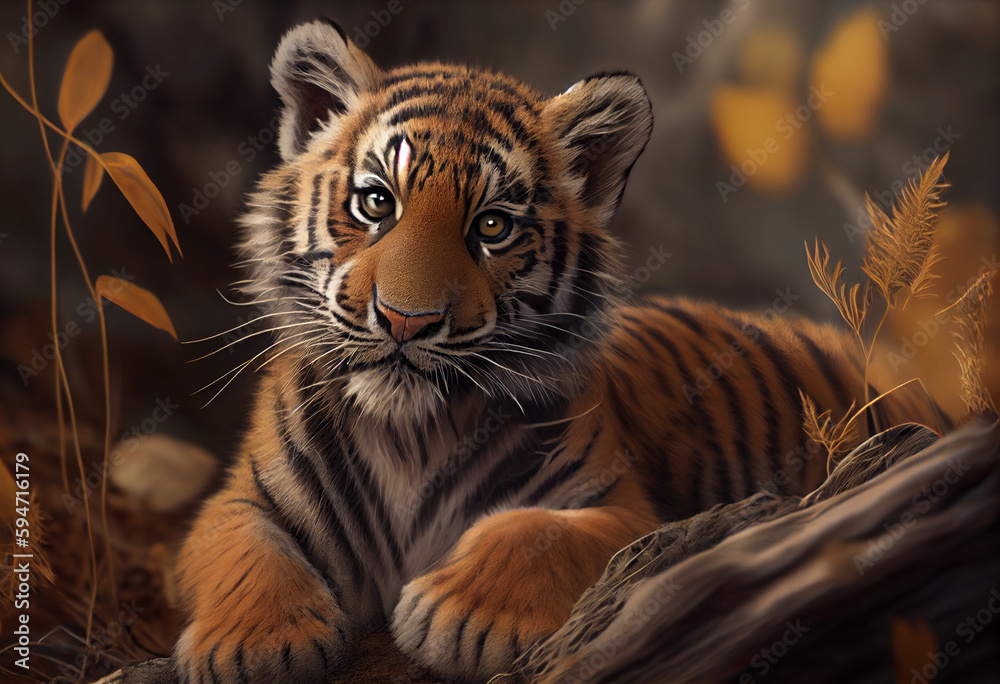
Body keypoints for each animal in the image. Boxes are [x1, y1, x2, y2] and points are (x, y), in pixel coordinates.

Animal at [111, 18, 942, 684]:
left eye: (492, 226)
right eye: (377, 202)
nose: (406, 321)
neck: (407, 432)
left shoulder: (620, 508)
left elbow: (532, 532)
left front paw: (460, 616)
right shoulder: (238, 498)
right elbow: (243, 548)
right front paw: (252, 643)